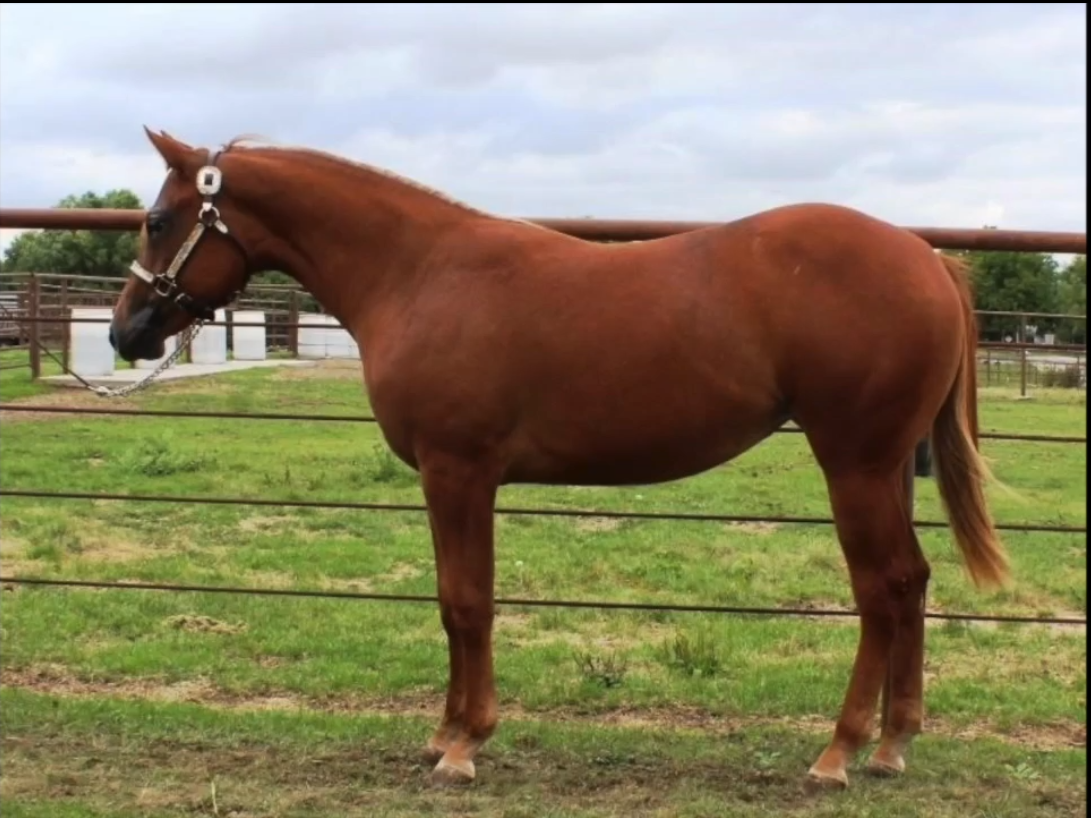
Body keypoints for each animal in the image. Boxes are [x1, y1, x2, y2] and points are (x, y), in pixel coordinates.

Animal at [108, 126, 1009, 791]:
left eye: (158, 220)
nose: (125, 332)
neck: (421, 273)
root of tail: (928, 259)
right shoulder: (454, 478)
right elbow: (453, 601)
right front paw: (443, 734)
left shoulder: (458, 471)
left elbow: (466, 602)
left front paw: (465, 745)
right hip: (882, 467)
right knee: (911, 581)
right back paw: (892, 745)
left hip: (852, 465)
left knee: (879, 590)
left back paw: (839, 753)